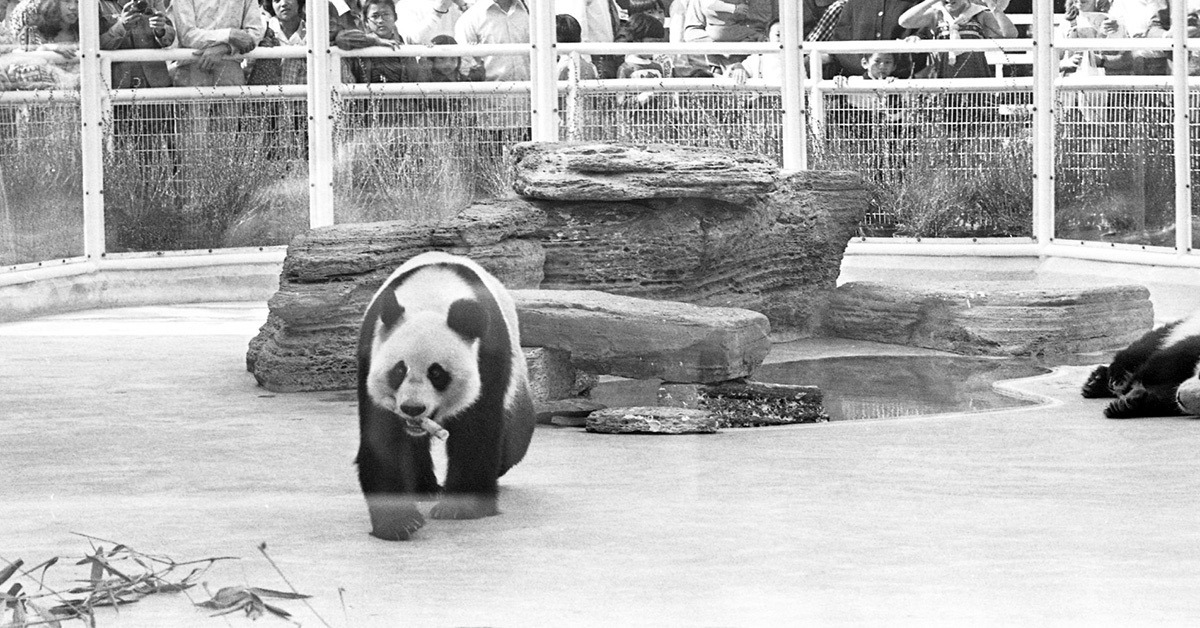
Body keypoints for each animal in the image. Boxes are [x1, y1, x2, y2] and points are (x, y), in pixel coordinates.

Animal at [356, 251, 535, 541]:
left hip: (517, 378)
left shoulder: (489, 353)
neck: (431, 297)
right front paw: (399, 522)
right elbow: (383, 438)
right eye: (399, 370)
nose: (413, 408)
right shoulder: (371, 352)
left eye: (437, 373)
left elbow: (476, 429)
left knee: (515, 437)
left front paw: (461, 508)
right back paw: (425, 487)